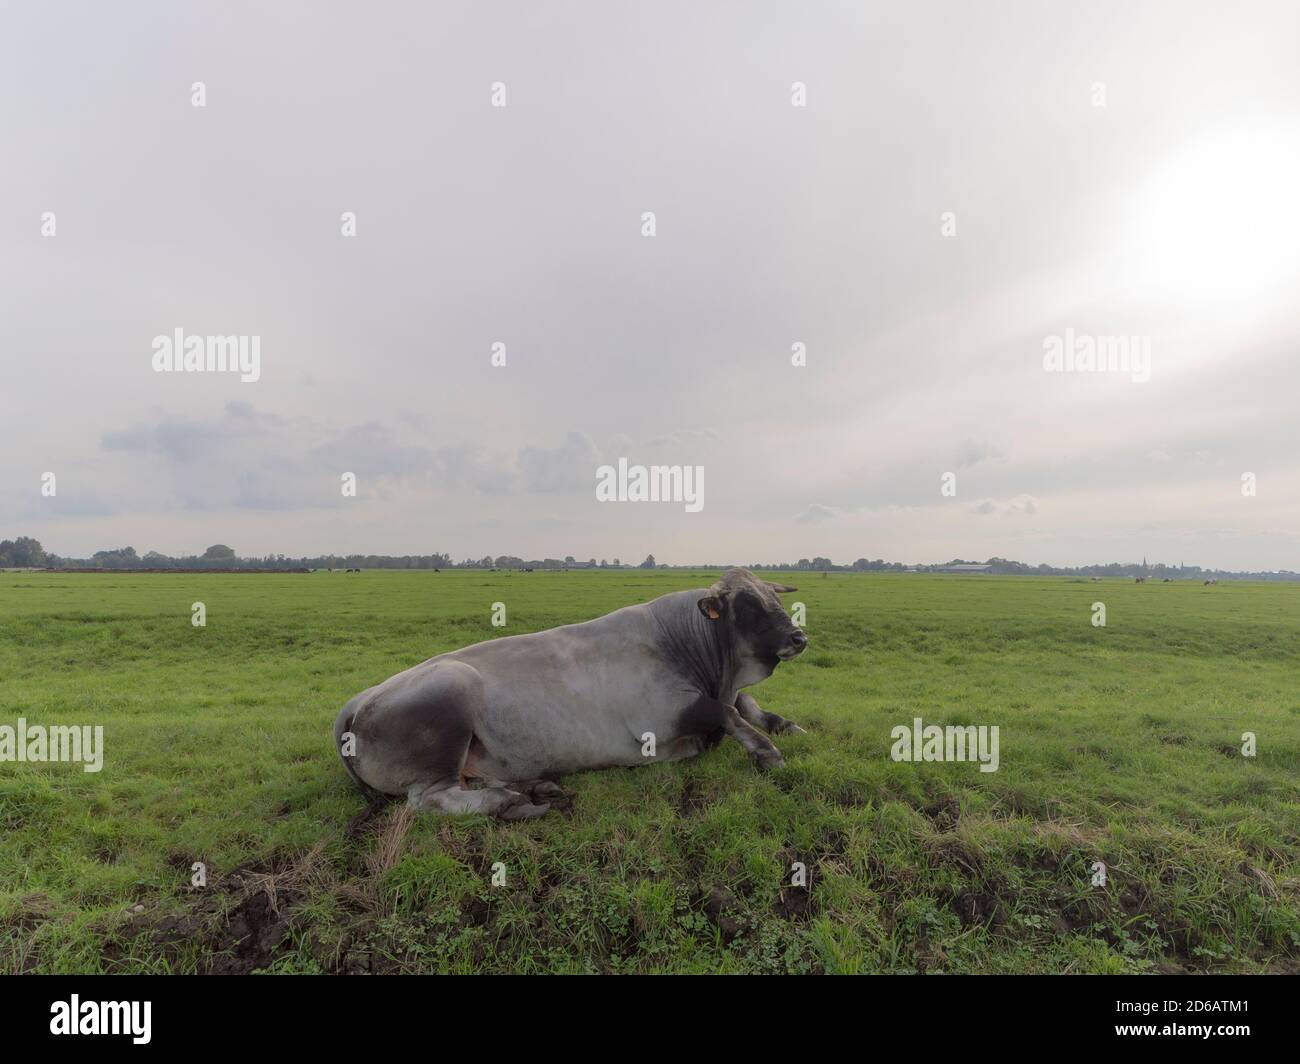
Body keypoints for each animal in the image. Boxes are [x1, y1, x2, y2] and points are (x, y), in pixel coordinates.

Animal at [334, 568, 807, 819]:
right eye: (747, 605)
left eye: (775, 598)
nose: (799, 636)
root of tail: (358, 701)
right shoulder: (661, 720)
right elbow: (729, 714)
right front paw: (767, 752)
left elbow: (745, 705)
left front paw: (787, 726)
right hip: (449, 705)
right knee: (430, 800)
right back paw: (509, 800)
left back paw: (538, 789)